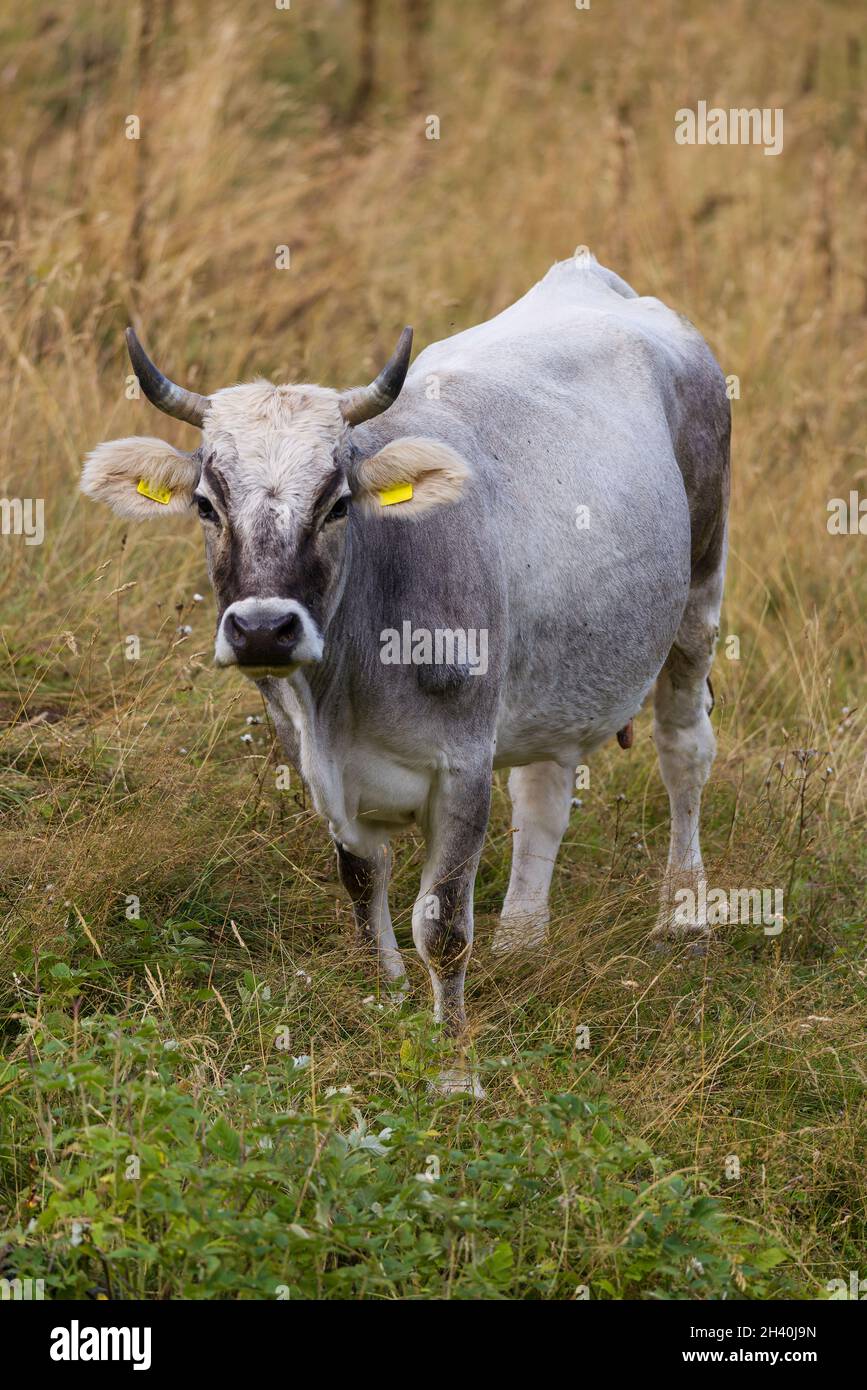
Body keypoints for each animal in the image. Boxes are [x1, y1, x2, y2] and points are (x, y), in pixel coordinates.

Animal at [81, 254, 730, 1093]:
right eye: (204, 504)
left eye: (335, 504)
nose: (262, 628)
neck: (341, 697)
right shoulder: (317, 765)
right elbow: (364, 890)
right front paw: (387, 999)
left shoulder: (460, 766)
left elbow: (442, 923)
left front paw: (454, 1067)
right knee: (544, 792)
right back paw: (524, 936)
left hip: (699, 589)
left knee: (683, 751)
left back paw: (680, 914)